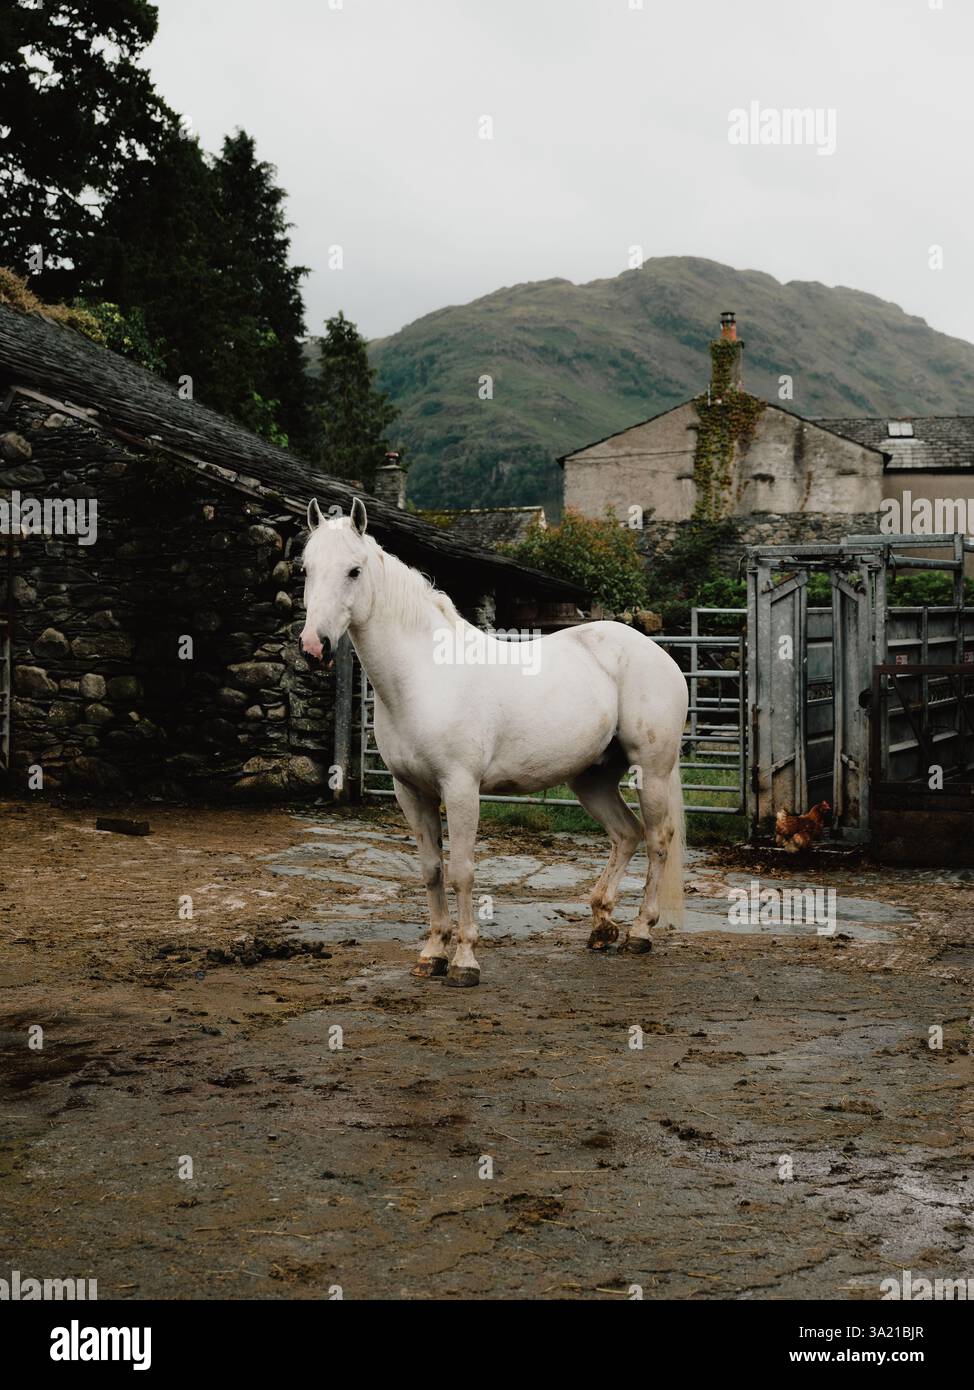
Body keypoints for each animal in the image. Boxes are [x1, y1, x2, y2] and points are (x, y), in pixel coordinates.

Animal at [299, 497, 689, 988]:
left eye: (354, 570)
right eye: (307, 569)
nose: (315, 646)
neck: (425, 676)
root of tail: (657, 654)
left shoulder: (461, 788)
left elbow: (462, 871)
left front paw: (464, 961)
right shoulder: (411, 791)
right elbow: (431, 870)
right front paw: (432, 954)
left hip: (651, 770)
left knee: (658, 840)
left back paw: (640, 932)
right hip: (592, 779)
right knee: (626, 835)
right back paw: (601, 927)